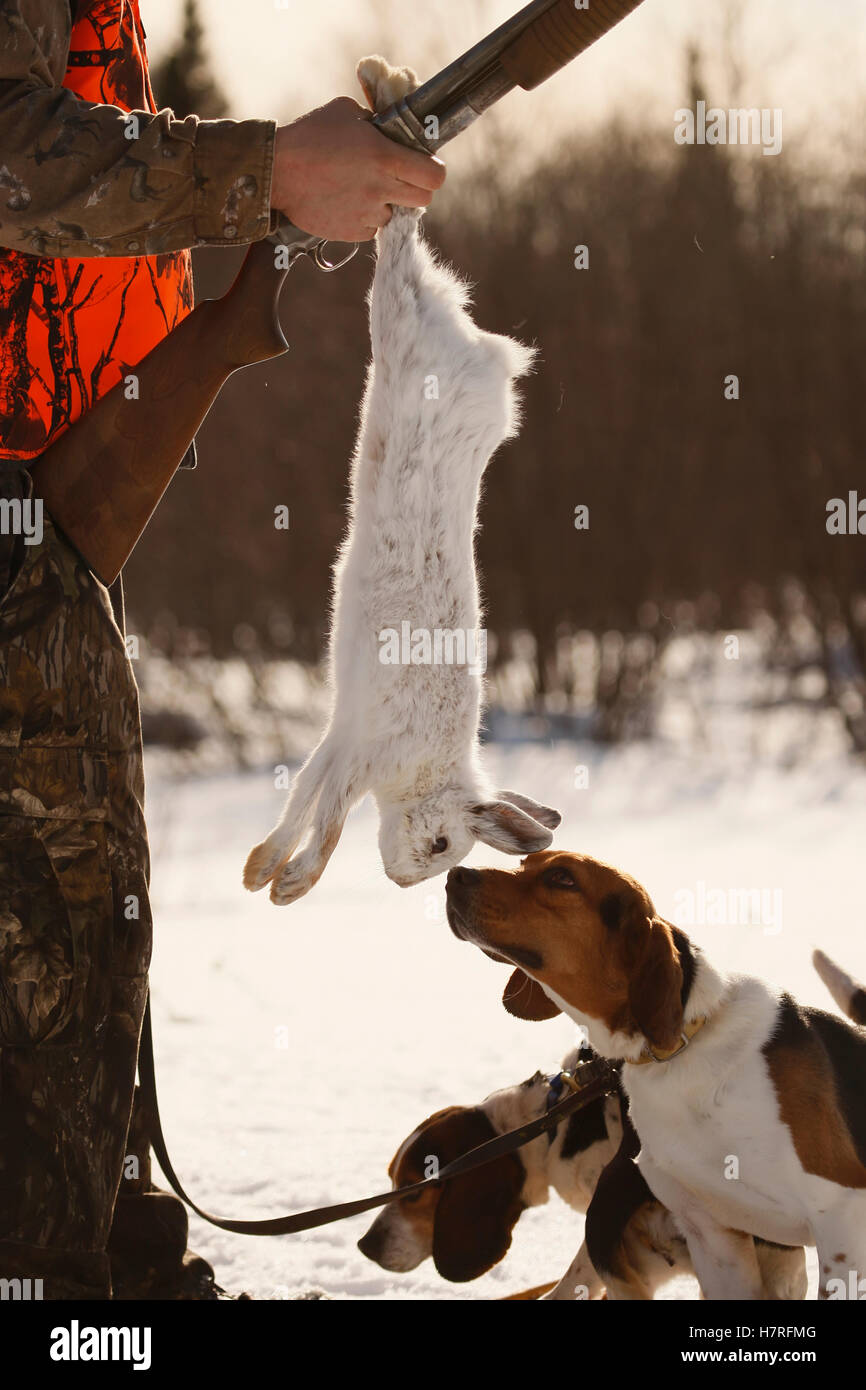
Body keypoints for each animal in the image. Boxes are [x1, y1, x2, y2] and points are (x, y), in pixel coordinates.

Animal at [243, 56, 559, 906]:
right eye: (445, 842)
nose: (403, 880)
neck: (426, 771)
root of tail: (478, 351)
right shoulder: (365, 753)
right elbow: (329, 820)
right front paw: (289, 886)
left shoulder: (340, 734)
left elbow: (304, 794)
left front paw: (262, 872)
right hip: (399, 322)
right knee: (396, 247)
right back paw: (390, 91)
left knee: (402, 243)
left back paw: (386, 83)